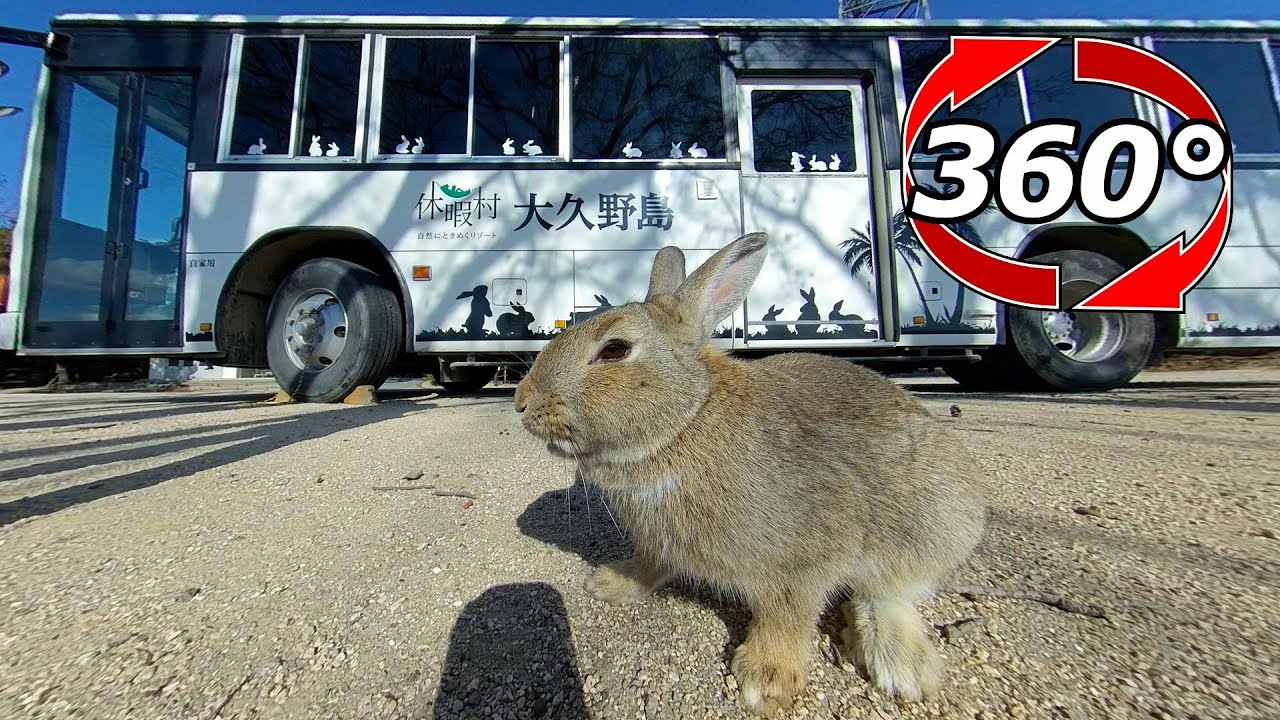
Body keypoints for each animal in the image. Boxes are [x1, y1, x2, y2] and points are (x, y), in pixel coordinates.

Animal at [513, 233, 986, 716]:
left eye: (614, 350)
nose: (521, 402)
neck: (686, 421)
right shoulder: (656, 543)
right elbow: (648, 565)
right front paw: (610, 583)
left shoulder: (806, 560)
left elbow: (788, 615)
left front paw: (766, 678)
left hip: (934, 519)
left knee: (891, 590)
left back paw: (900, 667)